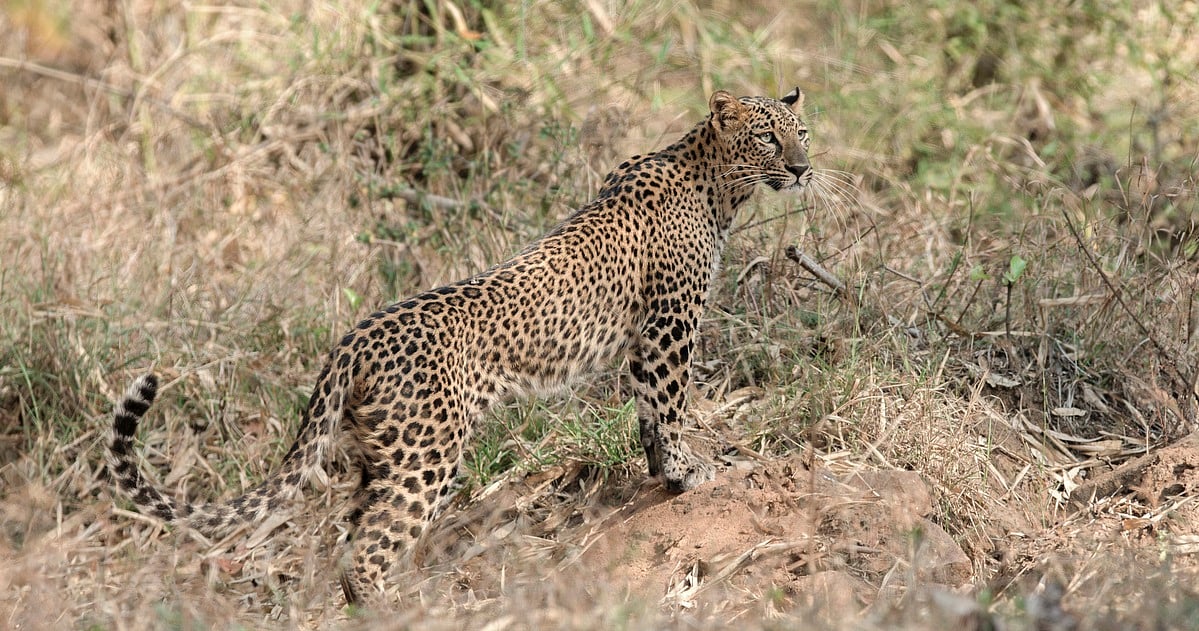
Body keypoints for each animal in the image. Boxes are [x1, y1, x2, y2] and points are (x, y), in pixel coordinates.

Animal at [106, 86, 814, 606]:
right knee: (366, 556)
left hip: (382, 458)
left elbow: (646, 411)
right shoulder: (669, 323)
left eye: (801, 133)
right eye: (766, 137)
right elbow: (667, 403)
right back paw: (403, 610)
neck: (719, 186)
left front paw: (662, 472)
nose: (803, 169)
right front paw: (686, 471)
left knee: (351, 542)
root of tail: (351, 340)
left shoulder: (650, 334)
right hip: (428, 454)